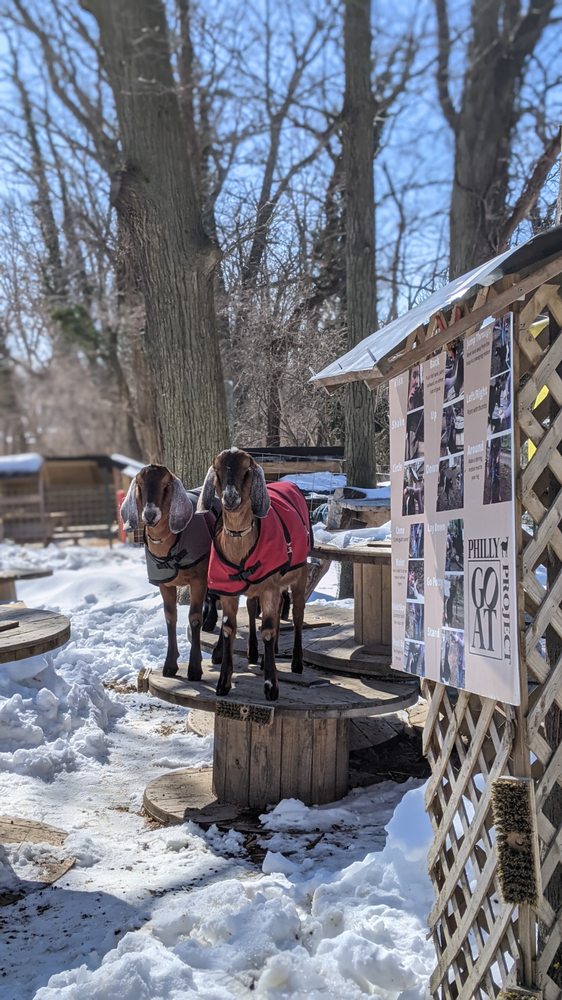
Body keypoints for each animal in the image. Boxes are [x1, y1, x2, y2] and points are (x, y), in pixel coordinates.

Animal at [120, 465, 219, 680]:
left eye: (166, 485)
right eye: (139, 484)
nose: (150, 515)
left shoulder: (198, 579)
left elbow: (194, 618)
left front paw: (194, 669)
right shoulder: (164, 583)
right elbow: (170, 617)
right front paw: (169, 666)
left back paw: (218, 652)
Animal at [197, 448, 311, 701]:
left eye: (247, 470)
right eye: (217, 470)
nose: (230, 498)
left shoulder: (270, 586)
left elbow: (267, 629)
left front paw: (271, 686)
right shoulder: (229, 590)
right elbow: (229, 628)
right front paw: (223, 684)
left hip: (299, 575)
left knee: (297, 614)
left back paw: (296, 662)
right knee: (254, 609)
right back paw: (254, 652)